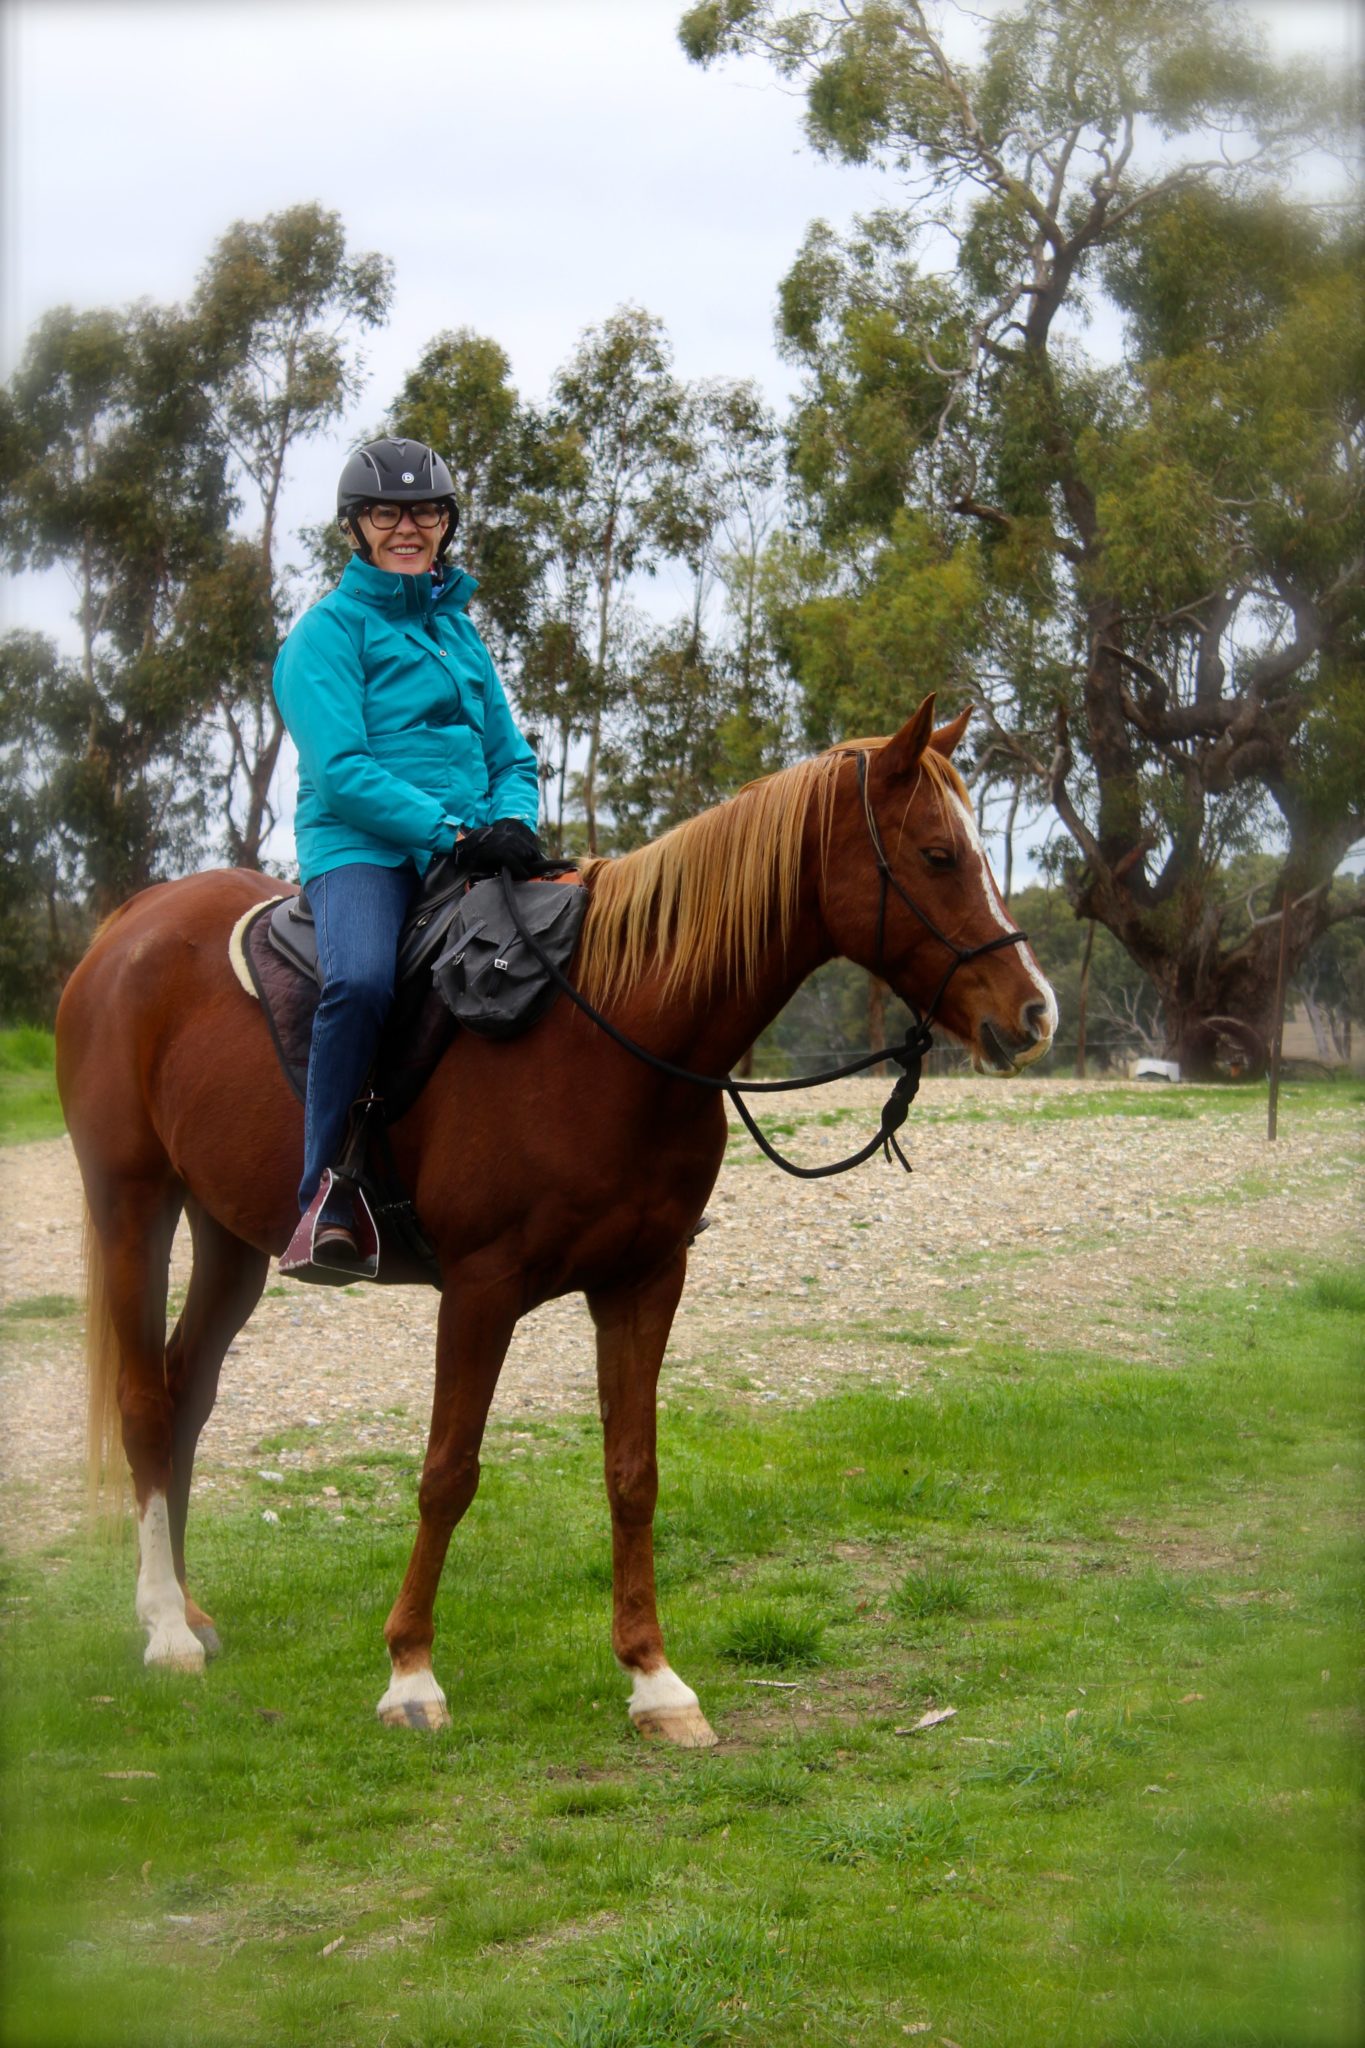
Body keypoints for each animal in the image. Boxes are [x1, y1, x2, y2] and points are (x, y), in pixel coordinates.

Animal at [55, 697, 1057, 1747]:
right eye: (938, 855)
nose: (1035, 1014)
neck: (614, 1028)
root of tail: (129, 926)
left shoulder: (643, 1280)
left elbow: (632, 1472)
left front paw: (655, 1681)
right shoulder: (481, 1289)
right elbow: (448, 1471)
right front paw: (410, 1672)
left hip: (230, 1236)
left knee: (185, 1395)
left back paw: (186, 1607)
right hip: (132, 1203)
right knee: (144, 1401)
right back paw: (166, 1630)